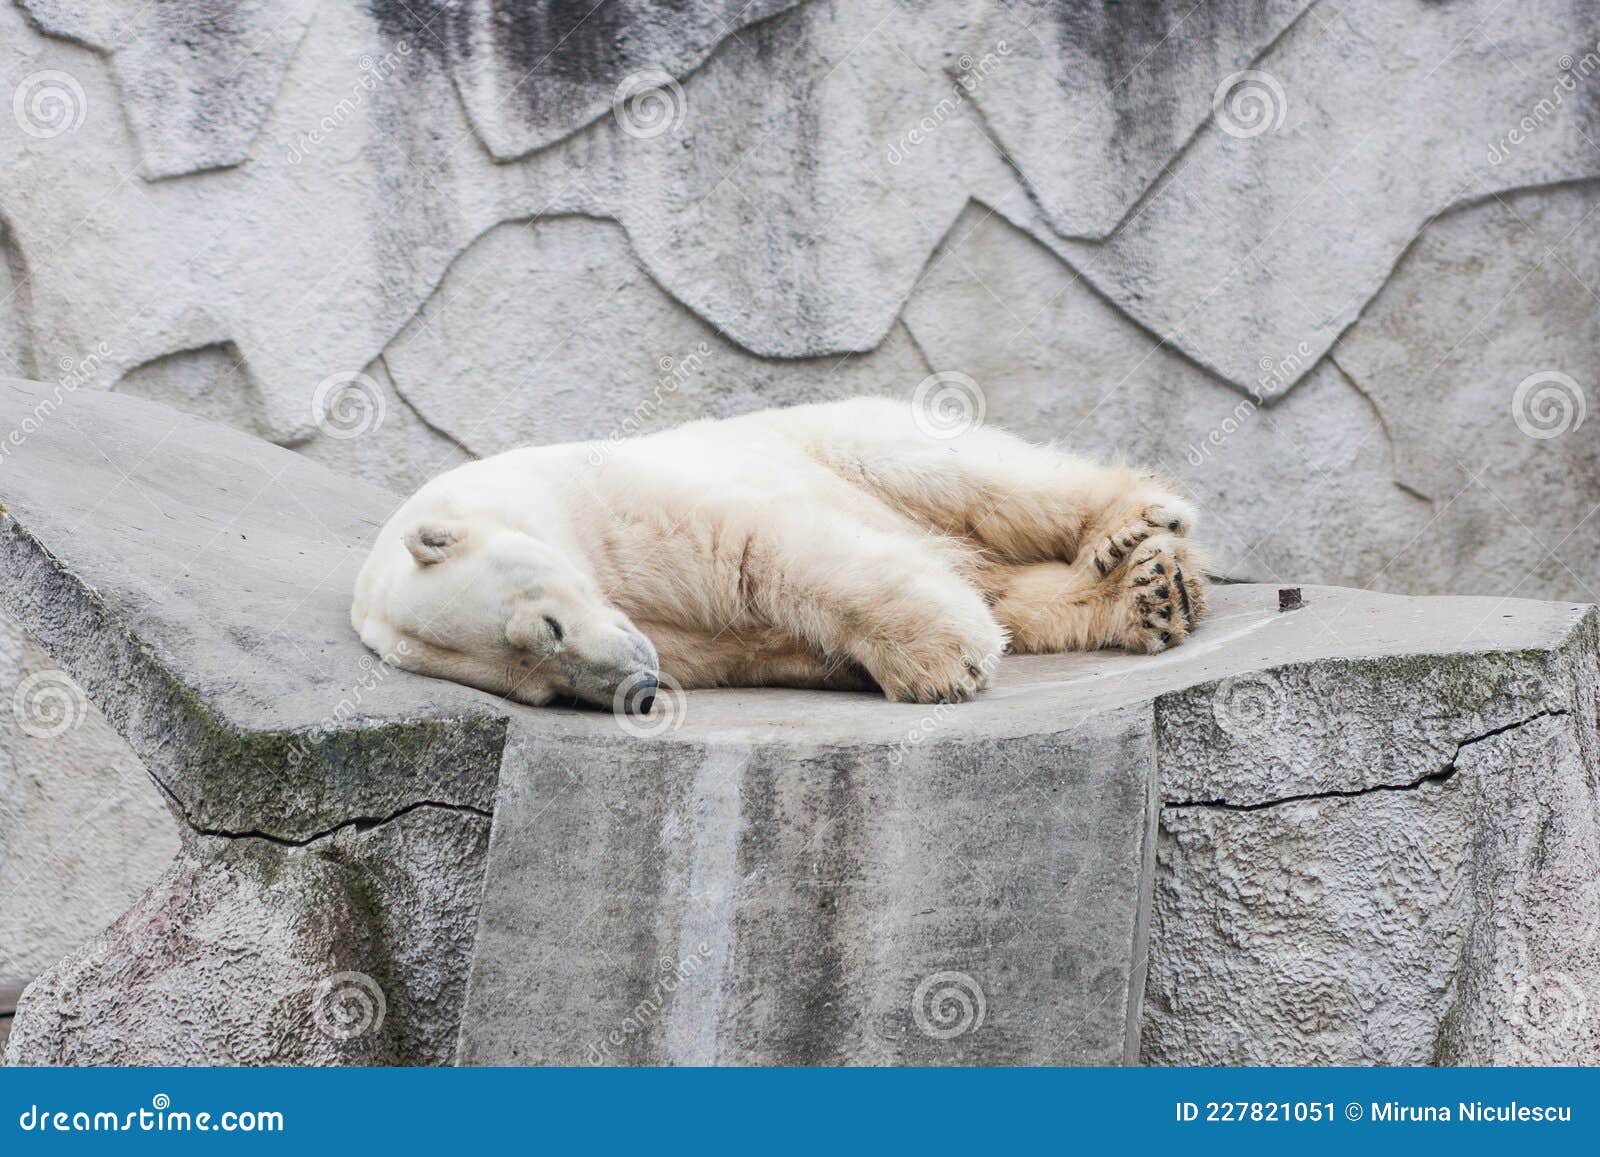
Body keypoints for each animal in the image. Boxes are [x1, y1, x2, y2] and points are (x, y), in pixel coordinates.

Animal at [351, 397, 1206, 712]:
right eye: (540, 689)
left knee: (979, 481)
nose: (640, 687)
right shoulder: (696, 649)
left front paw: (942, 661)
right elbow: (782, 644)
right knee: (1003, 583)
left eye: (547, 629)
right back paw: (1153, 592)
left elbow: (759, 549)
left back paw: (1132, 526)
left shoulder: (623, 500)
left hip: (849, 433)